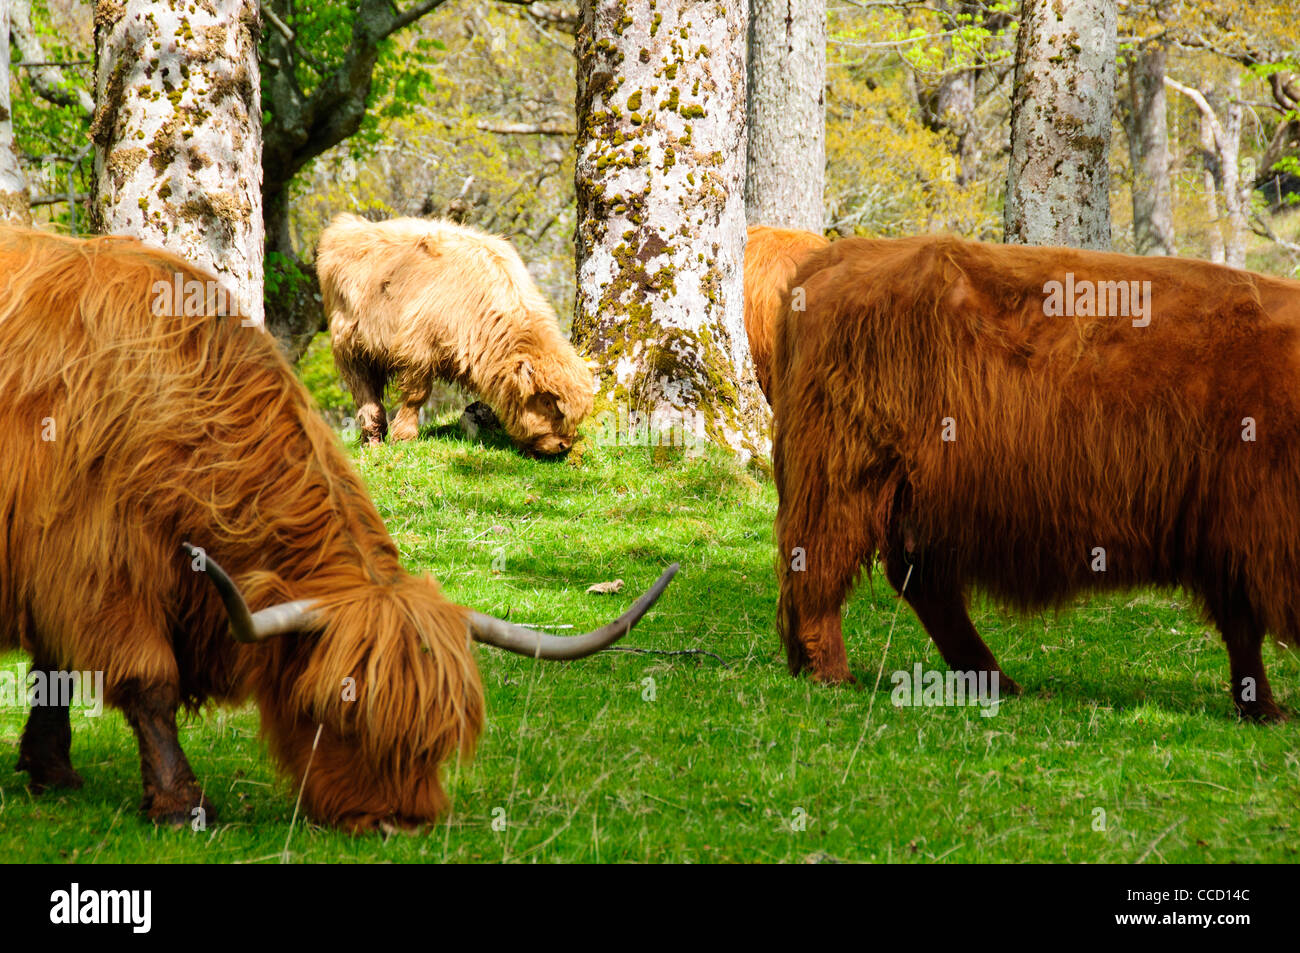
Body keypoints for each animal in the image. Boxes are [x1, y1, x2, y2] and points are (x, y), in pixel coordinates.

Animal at [318, 214, 594, 455]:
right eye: (547, 402)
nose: (563, 444)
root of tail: (346, 228)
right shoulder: (418, 350)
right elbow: (416, 395)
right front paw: (404, 436)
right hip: (350, 348)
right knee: (363, 392)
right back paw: (373, 438)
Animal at [772, 234, 1300, 721]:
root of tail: (840, 255)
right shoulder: (1252, 527)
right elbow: (1246, 625)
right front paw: (1264, 708)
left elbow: (1242, 624)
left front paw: (1258, 706)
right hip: (846, 476)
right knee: (820, 564)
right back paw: (832, 672)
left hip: (921, 499)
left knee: (919, 583)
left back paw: (994, 679)